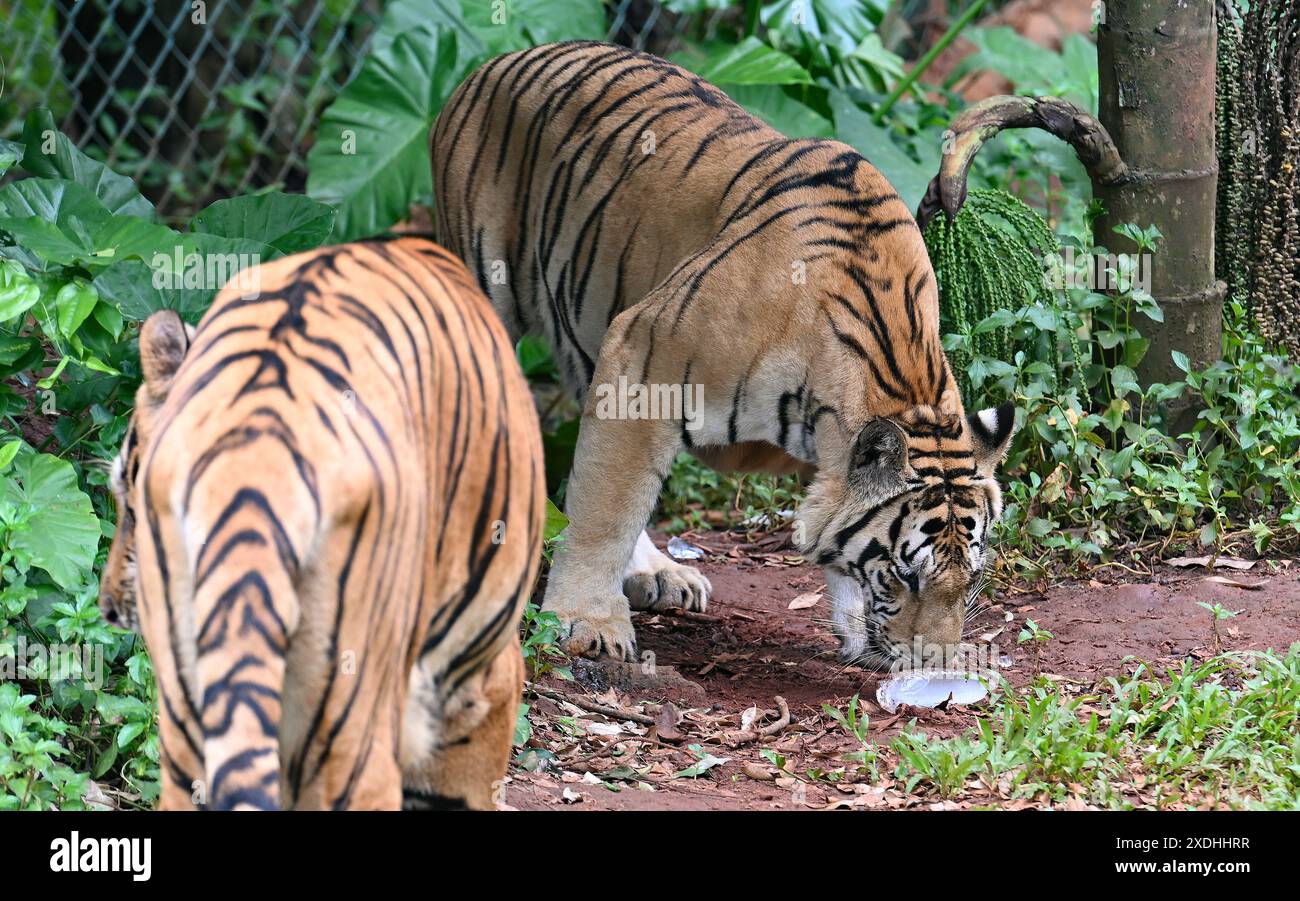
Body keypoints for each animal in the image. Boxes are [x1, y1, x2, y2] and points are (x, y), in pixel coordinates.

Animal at [98, 238, 544, 810]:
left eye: (130, 506)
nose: (109, 607)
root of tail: (254, 445)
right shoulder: (482, 683)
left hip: (185, 718)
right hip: (350, 720)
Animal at [430, 41, 1016, 672]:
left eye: (970, 578)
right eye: (905, 575)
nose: (937, 665)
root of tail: (498, 61)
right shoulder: (644, 355)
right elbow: (605, 508)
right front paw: (586, 621)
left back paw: (660, 574)